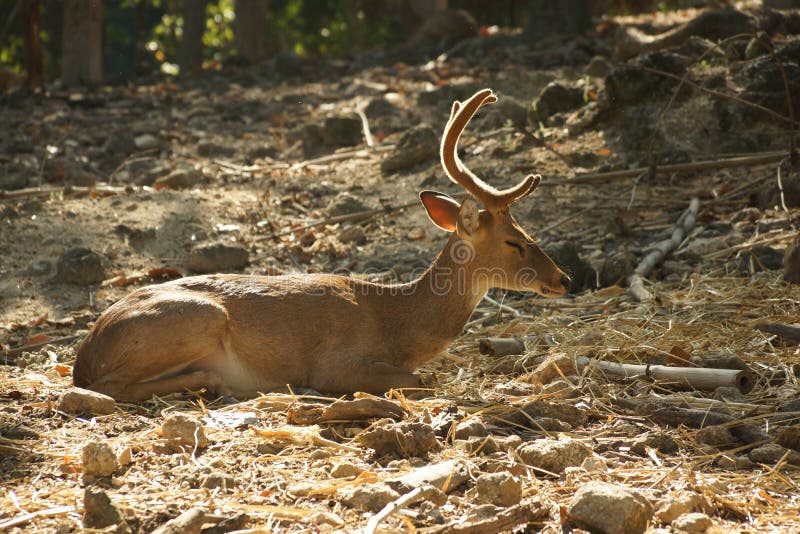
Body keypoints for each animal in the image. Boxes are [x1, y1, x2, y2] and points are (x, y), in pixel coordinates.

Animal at [72, 88, 571, 402]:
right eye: (515, 241)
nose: (564, 278)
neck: (395, 321)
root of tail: (85, 353)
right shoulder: (337, 361)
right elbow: (421, 380)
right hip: (196, 319)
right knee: (105, 386)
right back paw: (217, 382)